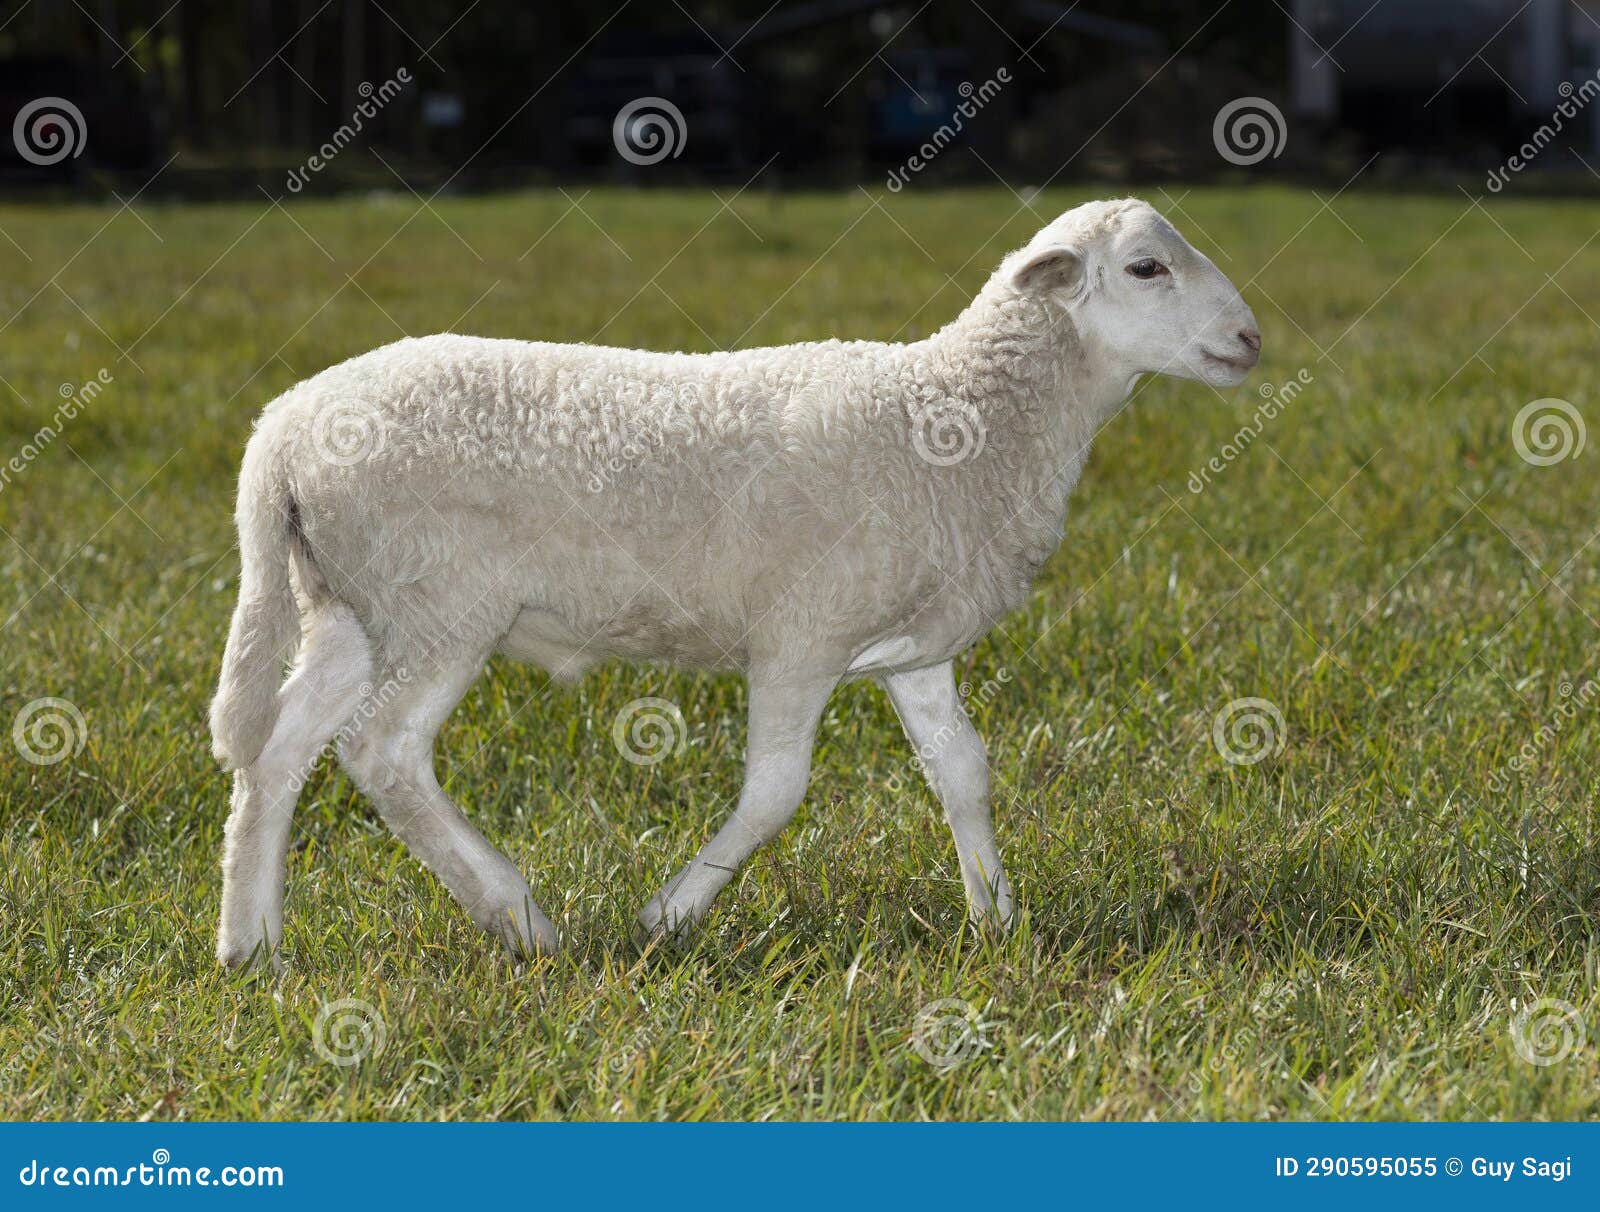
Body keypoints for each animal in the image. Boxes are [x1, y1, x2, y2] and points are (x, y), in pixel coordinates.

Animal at [210, 197, 1261, 968]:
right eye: (1147, 268)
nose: (1251, 339)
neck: (962, 417)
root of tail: (280, 432)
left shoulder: (913, 648)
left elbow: (963, 771)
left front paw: (996, 922)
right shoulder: (799, 636)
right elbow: (776, 794)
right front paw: (666, 919)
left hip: (353, 607)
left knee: (279, 750)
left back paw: (252, 946)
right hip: (441, 604)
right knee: (382, 753)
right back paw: (521, 920)